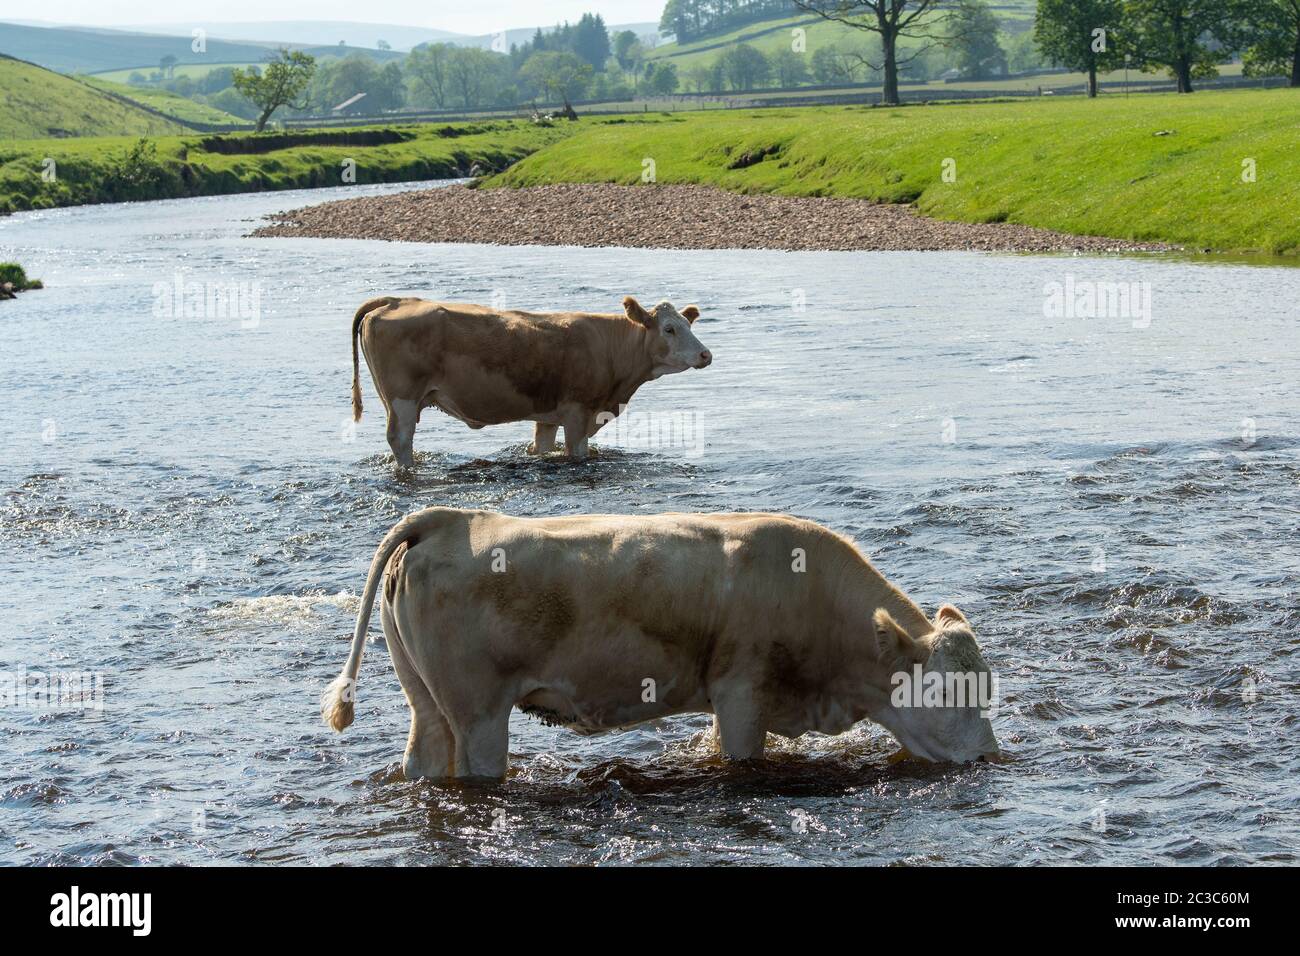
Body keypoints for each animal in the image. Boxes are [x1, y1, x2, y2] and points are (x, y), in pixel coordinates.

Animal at [321, 508, 1001, 781]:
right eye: (947, 691)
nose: (991, 755)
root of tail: (451, 518)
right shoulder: (741, 693)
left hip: (426, 702)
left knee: (422, 759)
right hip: (478, 713)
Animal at [350, 295, 712, 466]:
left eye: (688, 324)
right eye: (669, 329)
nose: (705, 354)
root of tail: (396, 300)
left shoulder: (549, 416)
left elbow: (542, 447)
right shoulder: (578, 413)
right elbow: (576, 453)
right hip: (403, 400)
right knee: (401, 440)